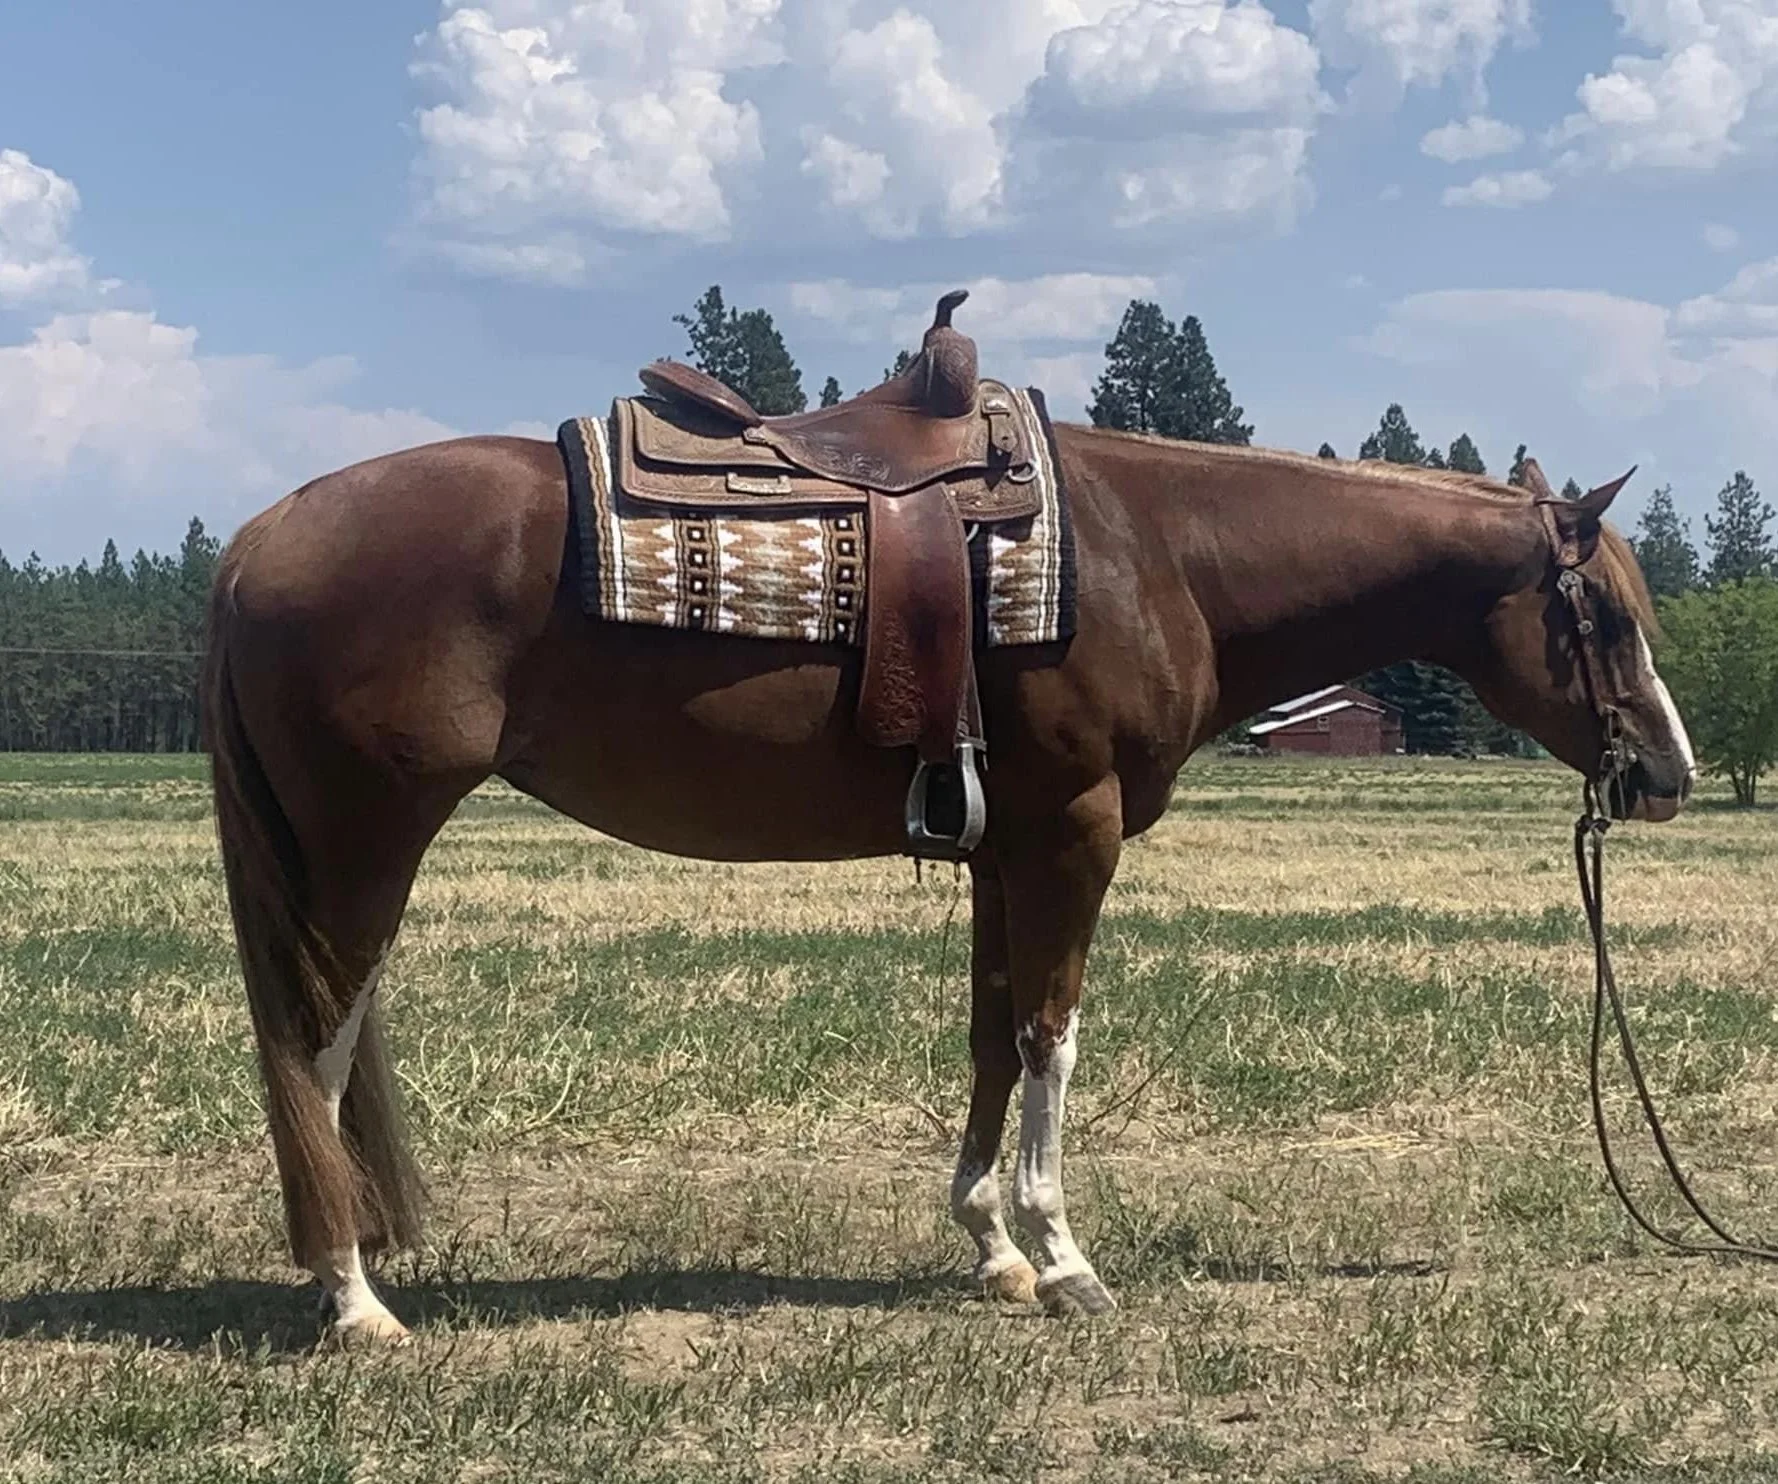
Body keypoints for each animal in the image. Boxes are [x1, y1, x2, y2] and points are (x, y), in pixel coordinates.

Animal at [201, 423, 1695, 1342]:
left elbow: (989, 1033)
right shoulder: (1074, 833)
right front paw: (1067, 1258)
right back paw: (354, 1301)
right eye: (1607, 616)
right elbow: (1051, 1035)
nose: (1666, 775)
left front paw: (992, 1248)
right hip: (361, 845)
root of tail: (260, 533)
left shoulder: (1002, 845)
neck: (1156, 550)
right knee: (309, 1046)